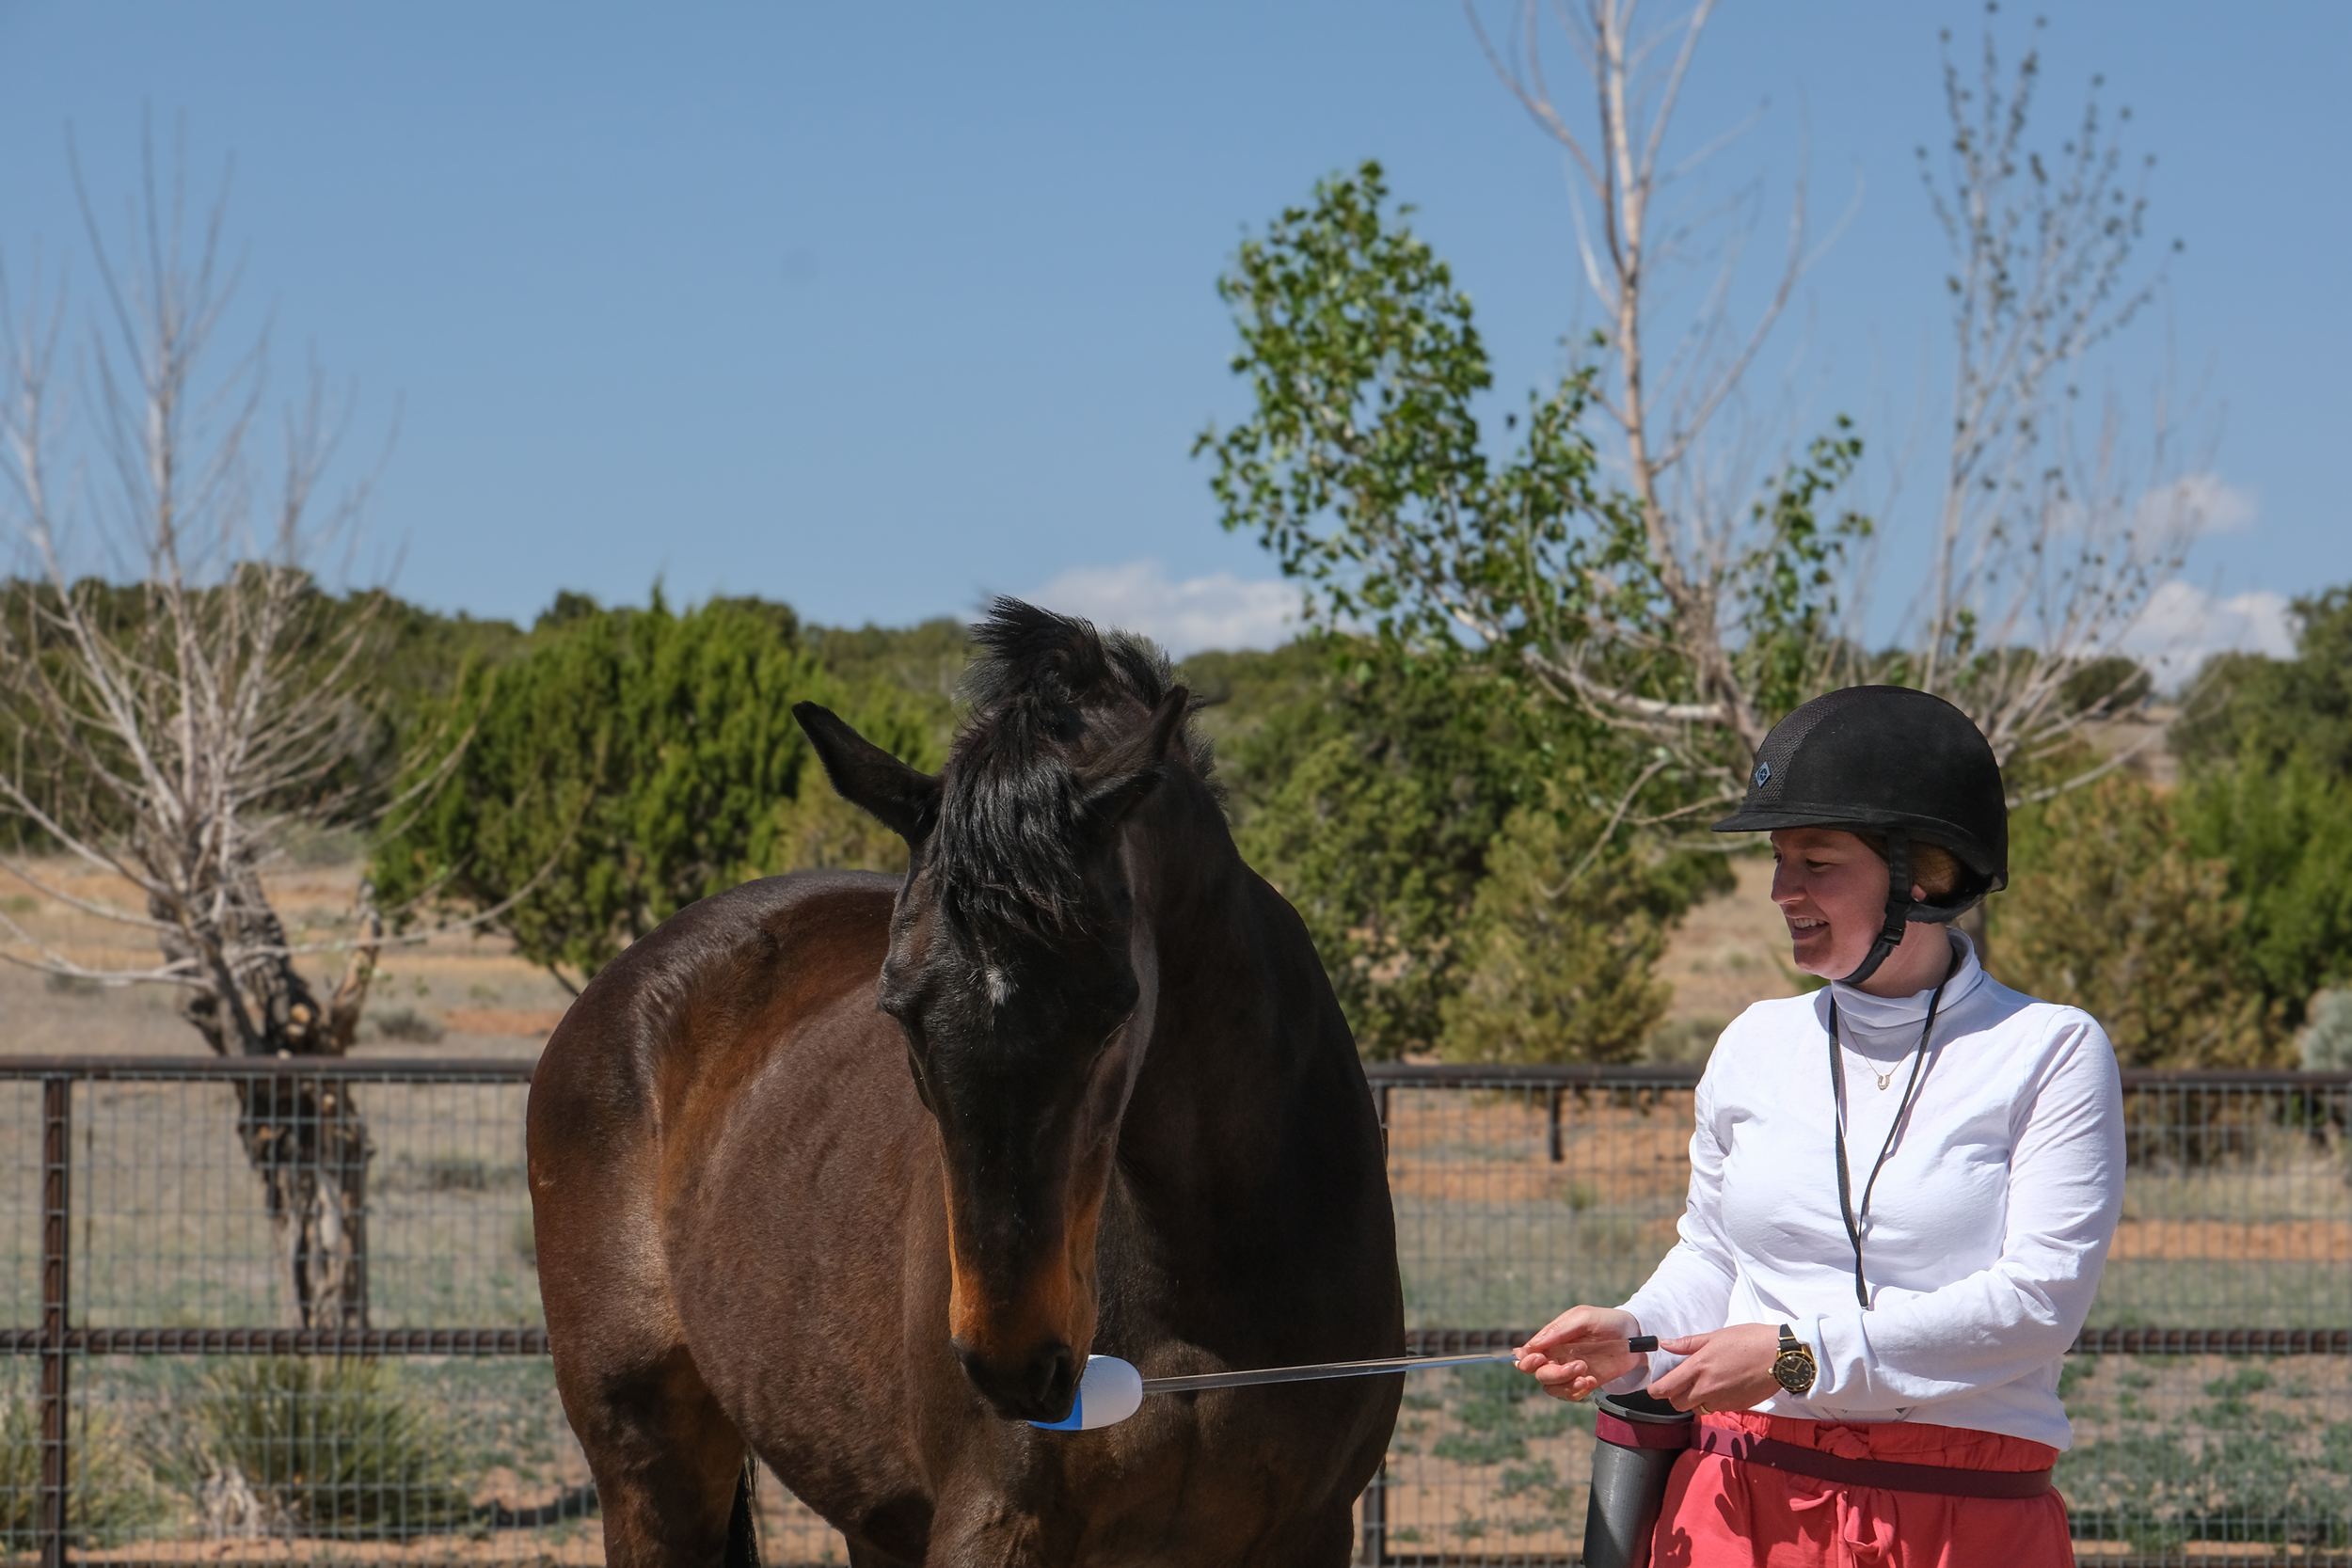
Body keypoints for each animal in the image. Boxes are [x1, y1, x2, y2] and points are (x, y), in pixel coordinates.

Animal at [527, 600, 1404, 1567]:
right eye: (899, 1009)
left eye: (1115, 1008)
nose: (1011, 1361)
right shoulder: (993, 1517)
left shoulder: (1310, 1526)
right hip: (650, 1469)